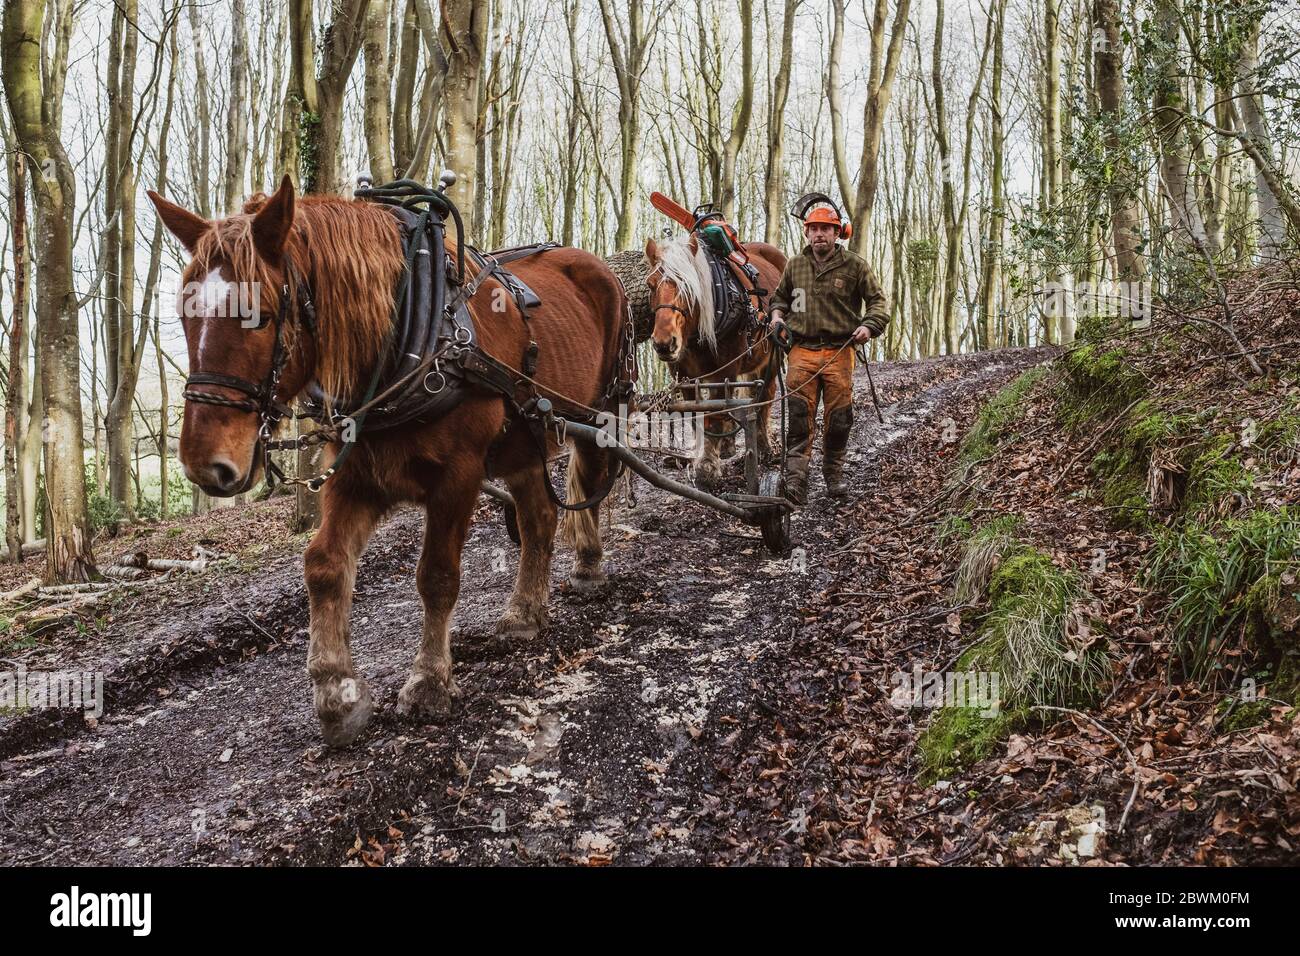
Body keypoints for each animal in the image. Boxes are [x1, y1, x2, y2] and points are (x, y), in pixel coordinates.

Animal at [148, 175, 626, 747]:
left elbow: (437, 576)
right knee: (539, 518)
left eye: (260, 315)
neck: (409, 337)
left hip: (598, 415)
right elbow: (324, 566)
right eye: (184, 312)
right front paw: (337, 692)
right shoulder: (356, 474)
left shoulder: (459, 475)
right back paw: (523, 612)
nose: (205, 465)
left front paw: (429, 682)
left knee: (587, 485)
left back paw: (589, 565)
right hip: (524, 440)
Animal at [643, 233, 786, 487]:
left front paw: (708, 466)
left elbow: (714, 414)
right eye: (651, 285)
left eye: (689, 286)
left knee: (764, 398)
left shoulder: (725, 370)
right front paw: (697, 456)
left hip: (772, 354)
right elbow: (693, 414)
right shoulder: (683, 374)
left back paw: (763, 446)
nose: (664, 343)